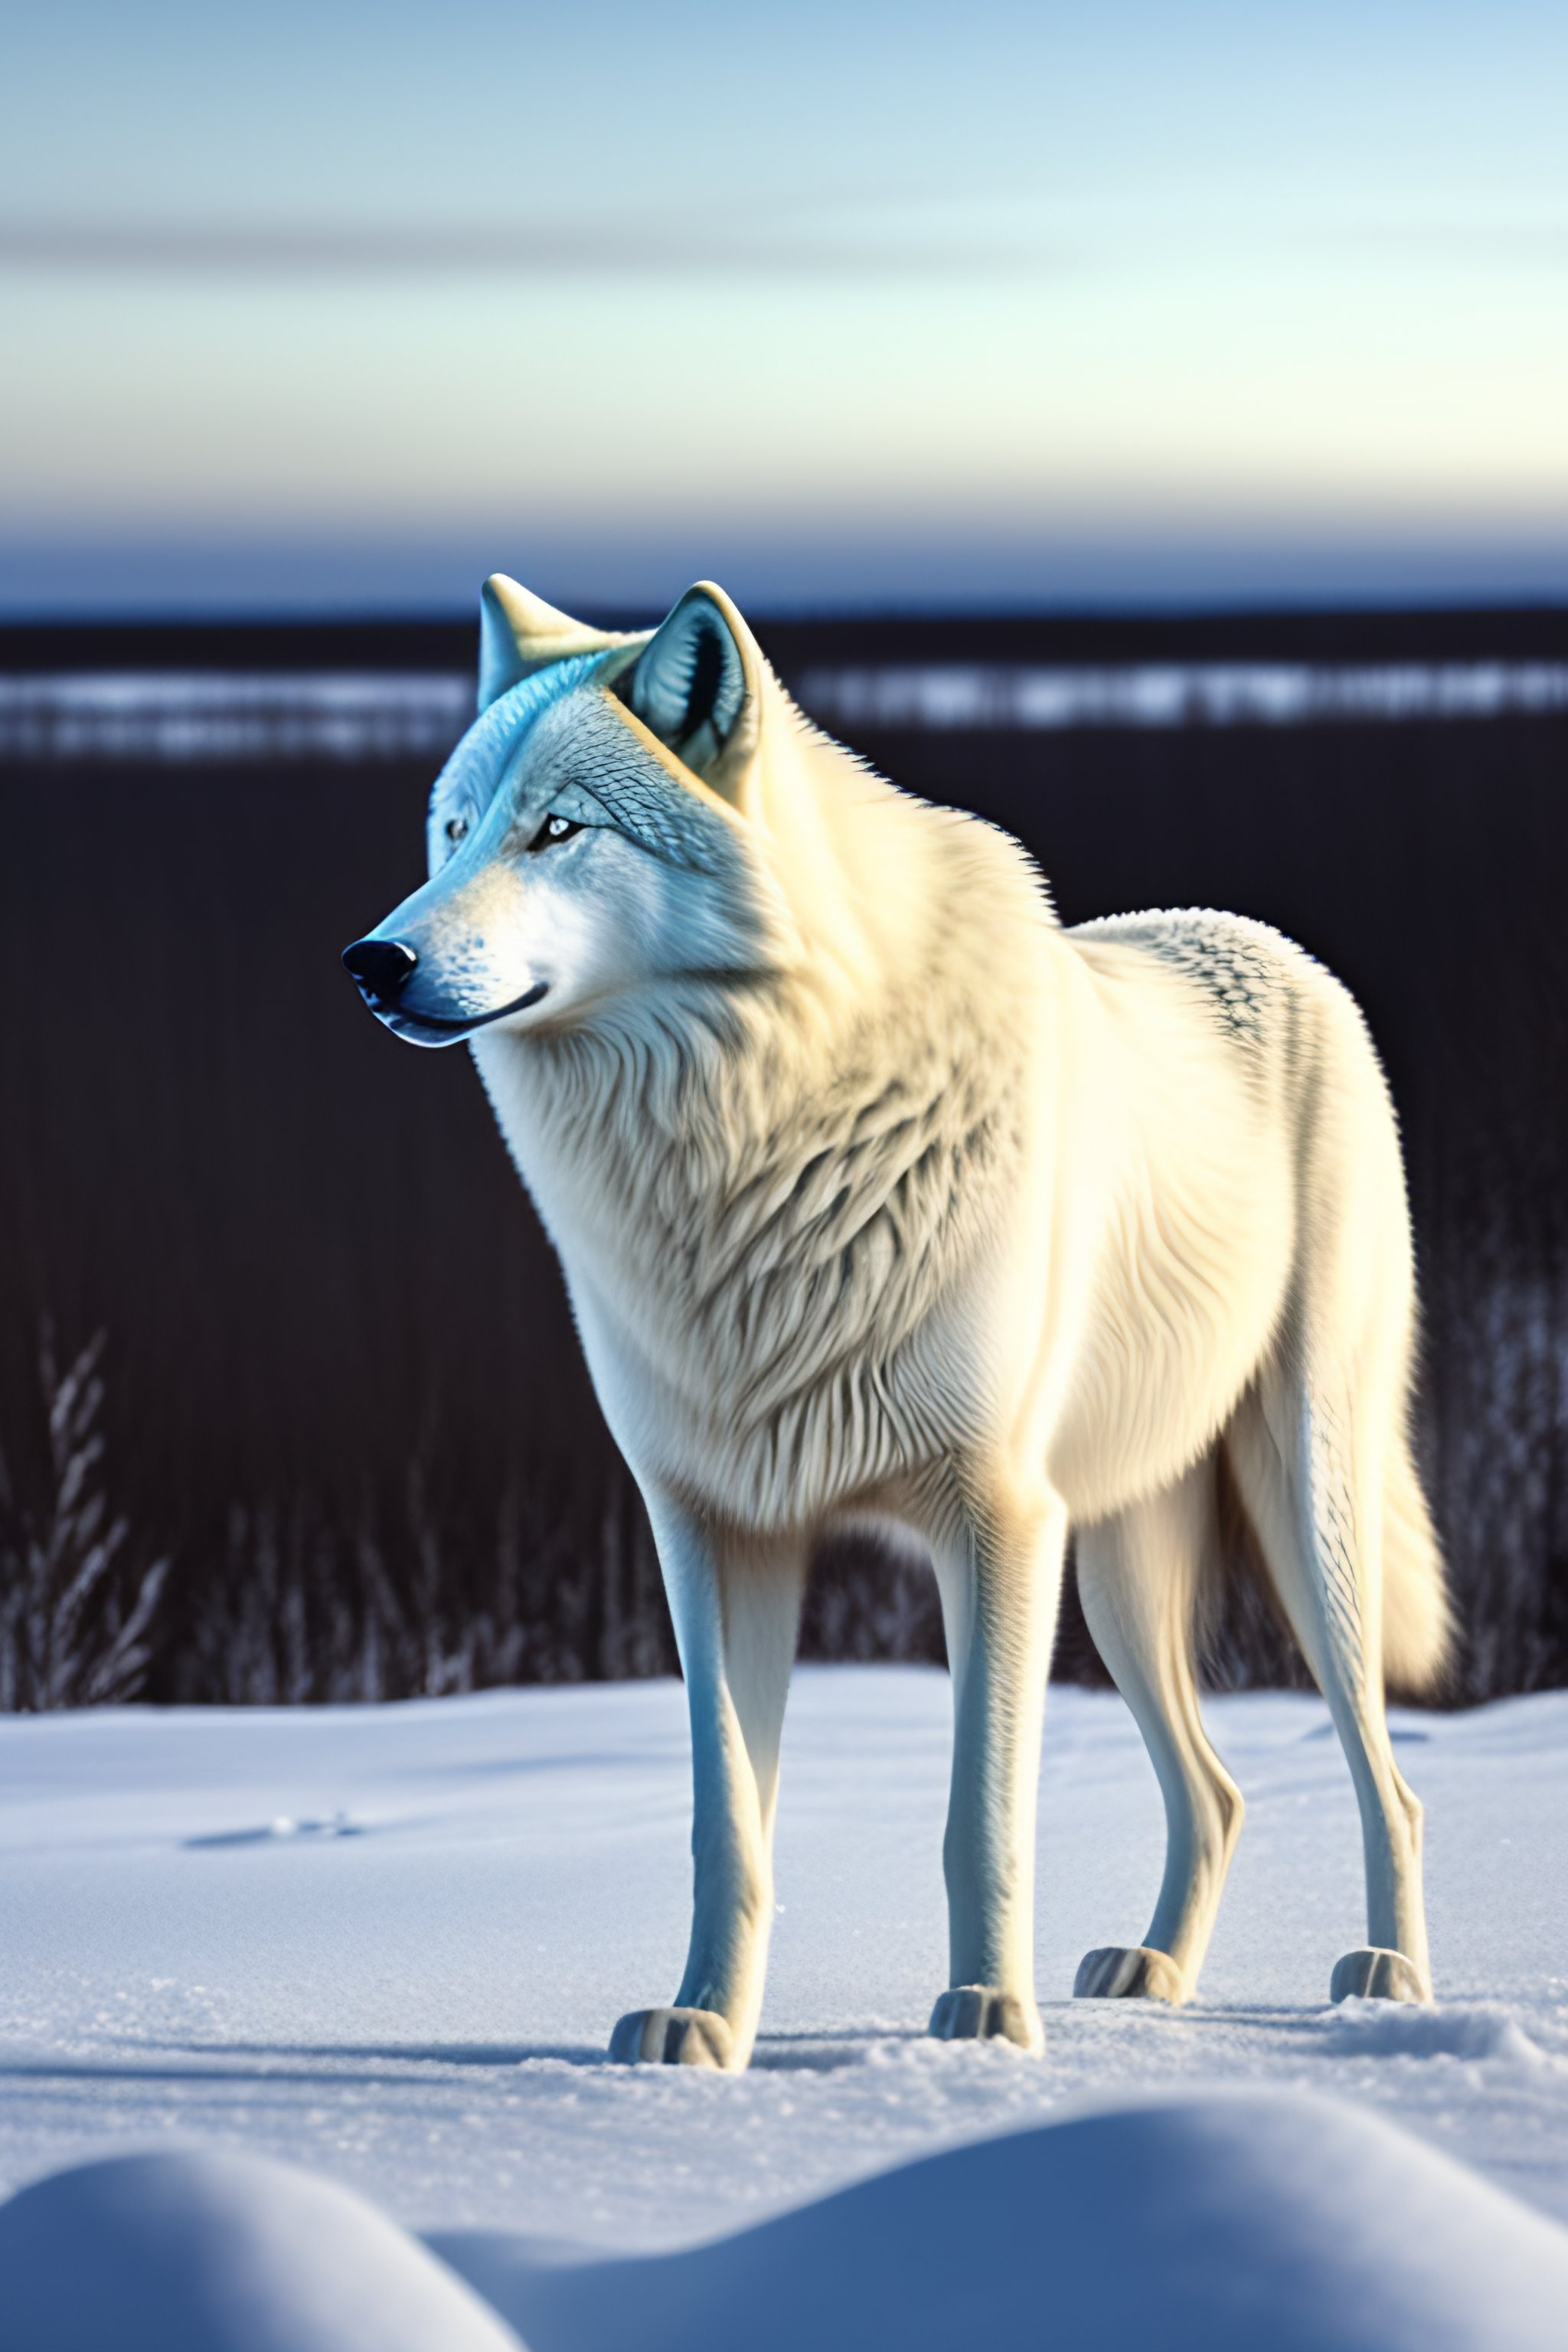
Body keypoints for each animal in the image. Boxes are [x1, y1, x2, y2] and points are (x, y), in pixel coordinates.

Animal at [342, 576, 1452, 2069]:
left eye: (558, 830)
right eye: (454, 832)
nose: (374, 959)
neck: (747, 1146)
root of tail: (1262, 941)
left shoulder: (993, 1519)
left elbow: (978, 1813)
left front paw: (982, 2026)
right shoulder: (714, 1527)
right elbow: (726, 1826)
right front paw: (704, 2030)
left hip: (1296, 1508)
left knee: (1388, 1782)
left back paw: (1389, 1979)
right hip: (1116, 1561)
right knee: (1216, 1788)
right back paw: (1153, 1969)